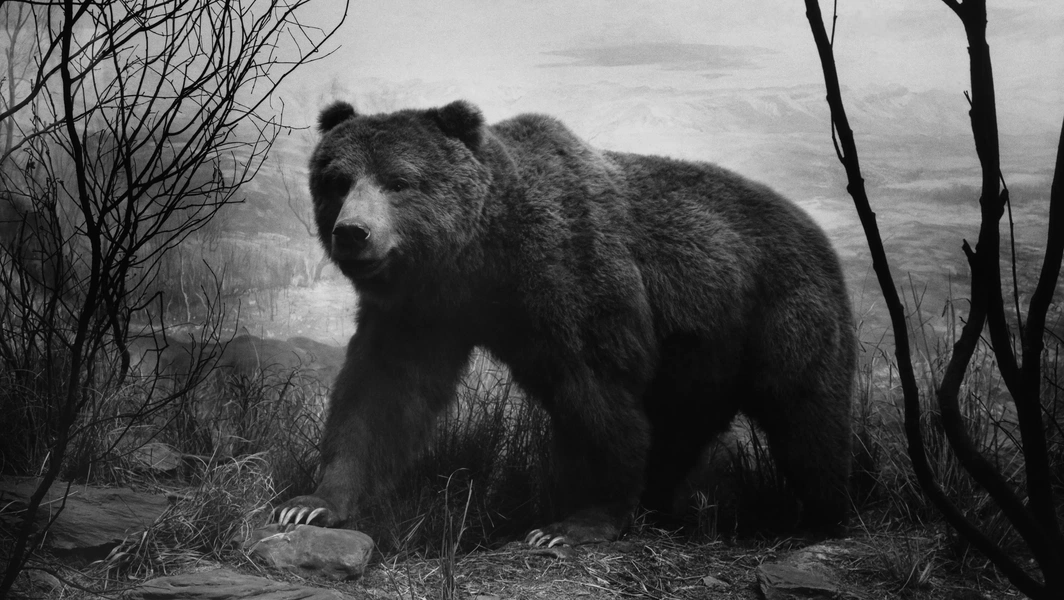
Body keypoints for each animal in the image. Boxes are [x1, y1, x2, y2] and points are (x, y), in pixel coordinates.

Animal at [274, 99, 857, 547]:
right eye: (338, 180)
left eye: (399, 181)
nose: (354, 232)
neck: (481, 257)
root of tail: (814, 226)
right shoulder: (426, 311)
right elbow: (382, 394)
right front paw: (311, 504)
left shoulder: (571, 277)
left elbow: (596, 392)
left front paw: (570, 524)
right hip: (705, 360)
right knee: (683, 429)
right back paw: (662, 503)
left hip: (780, 313)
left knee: (807, 417)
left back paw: (822, 515)